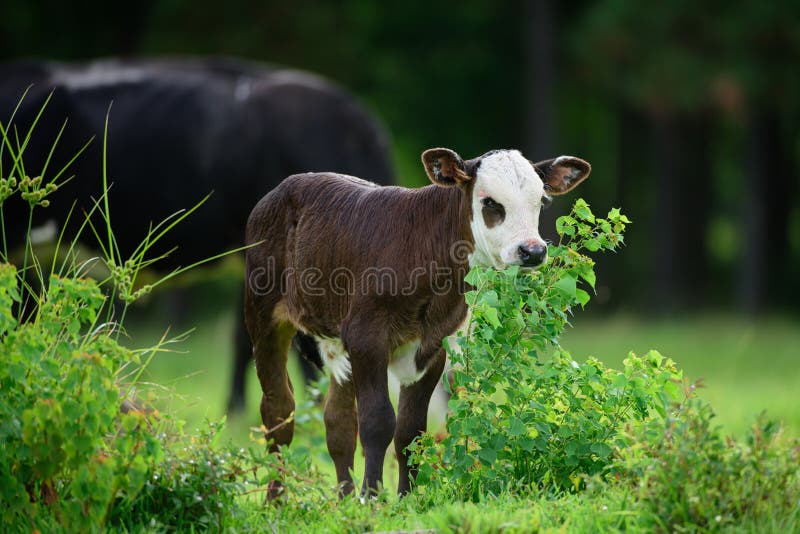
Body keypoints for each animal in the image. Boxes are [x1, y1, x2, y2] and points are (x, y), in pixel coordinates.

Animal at [244, 147, 590, 497]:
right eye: (490, 201)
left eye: (541, 201)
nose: (532, 251)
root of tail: (285, 188)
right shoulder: (367, 338)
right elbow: (377, 422)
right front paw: (372, 498)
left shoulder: (432, 346)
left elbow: (410, 431)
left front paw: (405, 498)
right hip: (263, 317)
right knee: (278, 411)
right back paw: (277, 499)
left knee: (338, 423)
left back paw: (343, 498)